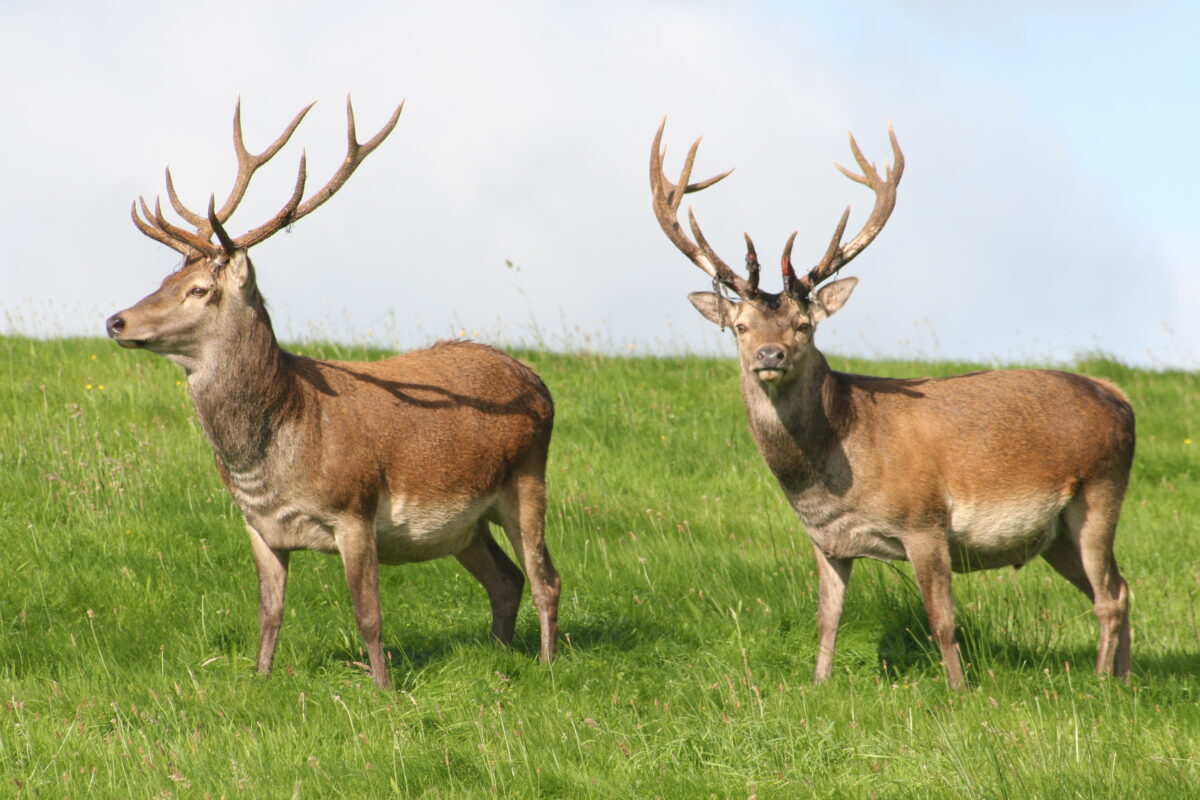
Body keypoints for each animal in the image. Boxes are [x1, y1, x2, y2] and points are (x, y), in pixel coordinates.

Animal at [106, 99, 561, 690]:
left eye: (200, 290)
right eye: (162, 281)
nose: (116, 321)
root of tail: (537, 381)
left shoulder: (355, 509)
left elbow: (368, 614)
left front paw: (384, 689)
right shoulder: (258, 526)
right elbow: (269, 611)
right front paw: (260, 680)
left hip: (528, 477)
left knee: (544, 575)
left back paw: (548, 663)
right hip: (465, 525)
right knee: (506, 578)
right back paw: (499, 654)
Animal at [649, 119, 1134, 689]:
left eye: (804, 325)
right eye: (741, 327)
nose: (770, 355)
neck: (835, 472)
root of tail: (1119, 396)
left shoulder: (925, 521)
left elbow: (942, 620)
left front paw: (959, 691)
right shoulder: (825, 541)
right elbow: (827, 619)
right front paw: (818, 684)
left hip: (1101, 491)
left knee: (1108, 596)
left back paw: (1100, 683)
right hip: (1056, 534)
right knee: (1121, 587)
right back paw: (1123, 680)